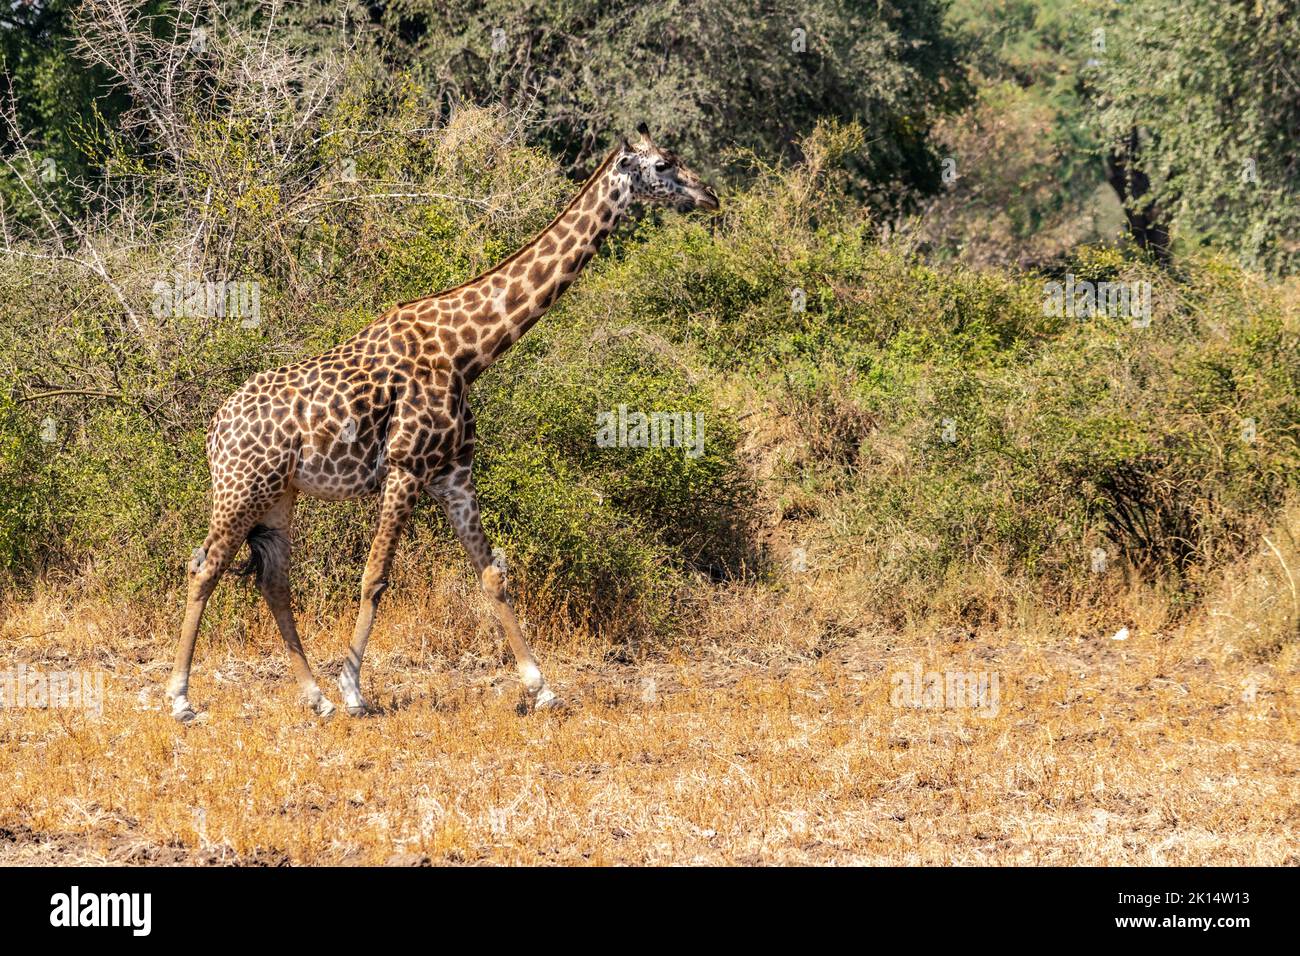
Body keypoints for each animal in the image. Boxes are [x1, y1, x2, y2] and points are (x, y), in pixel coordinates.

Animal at [165, 123, 719, 722]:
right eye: (664, 164)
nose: (711, 195)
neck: (465, 351)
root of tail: (213, 431)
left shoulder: (453, 474)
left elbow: (492, 574)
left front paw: (541, 687)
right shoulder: (405, 468)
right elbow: (375, 577)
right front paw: (355, 689)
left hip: (279, 496)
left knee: (272, 580)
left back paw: (314, 698)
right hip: (242, 487)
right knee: (204, 568)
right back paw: (182, 698)